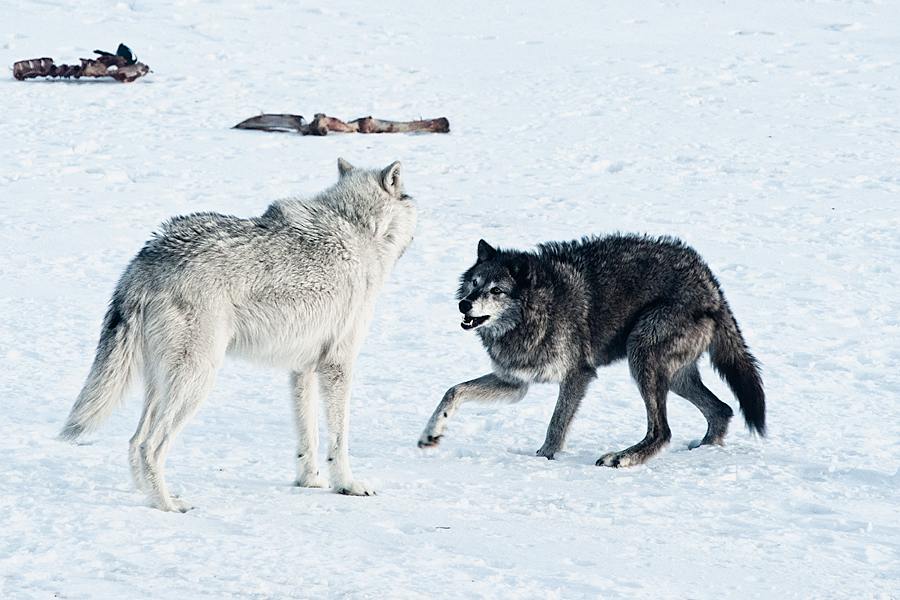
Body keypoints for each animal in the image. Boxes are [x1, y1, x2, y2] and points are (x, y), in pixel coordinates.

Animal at [60, 158, 416, 512]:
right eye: (409, 196)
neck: (357, 228)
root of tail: (149, 255)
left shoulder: (303, 368)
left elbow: (308, 435)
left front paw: (310, 481)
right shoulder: (338, 364)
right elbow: (339, 439)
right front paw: (347, 485)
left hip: (162, 384)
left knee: (134, 441)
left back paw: (150, 497)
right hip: (198, 379)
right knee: (150, 445)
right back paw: (168, 506)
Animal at [418, 235, 765, 468]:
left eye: (496, 291)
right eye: (474, 284)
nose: (464, 304)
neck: (538, 311)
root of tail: (710, 283)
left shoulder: (578, 374)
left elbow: (557, 423)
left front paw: (543, 458)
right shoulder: (515, 383)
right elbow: (454, 390)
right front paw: (430, 434)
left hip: (641, 355)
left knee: (662, 431)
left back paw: (623, 458)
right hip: (674, 376)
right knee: (721, 410)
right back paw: (703, 450)